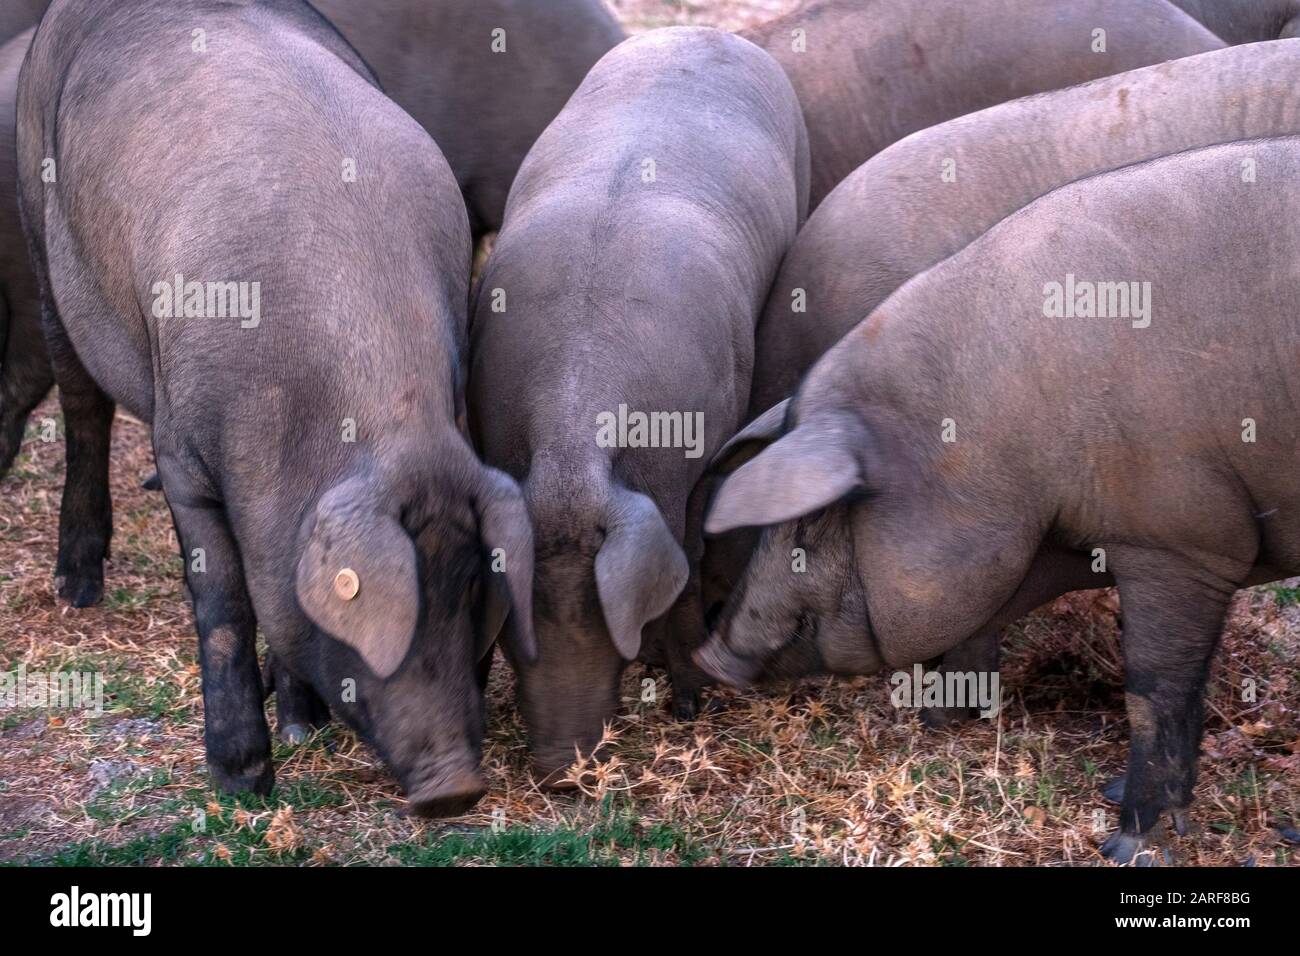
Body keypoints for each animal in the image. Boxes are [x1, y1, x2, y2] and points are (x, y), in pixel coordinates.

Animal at [18, 0, 535, 815]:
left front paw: (301, 726)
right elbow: (225, 602)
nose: (455, 787)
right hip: (41, 238)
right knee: (82, 408)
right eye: (379, 608)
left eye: (474, 599)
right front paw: (244, 782)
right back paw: (77, 588)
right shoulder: (187, 455)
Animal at [469, 27, 808, 779]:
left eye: (606, 622)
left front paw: (689, 704)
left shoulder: (693, 462)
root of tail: (705, 31)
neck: (569, 457)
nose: (561, 769)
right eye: (517, 633)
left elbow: (686, 569)